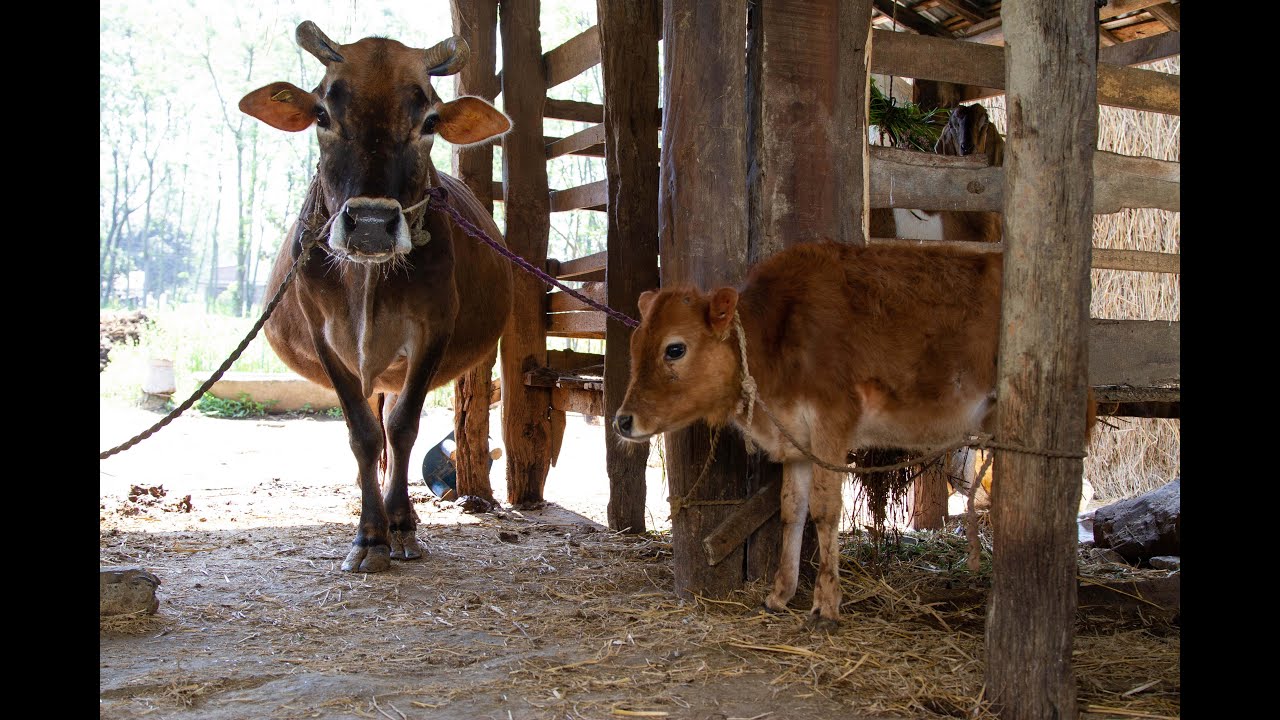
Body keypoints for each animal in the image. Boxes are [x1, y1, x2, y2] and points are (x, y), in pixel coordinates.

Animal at [238, 22, 514, 573]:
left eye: (429, 120)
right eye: (322, 114)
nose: (369, 223)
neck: (367, 280)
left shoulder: (433, 329)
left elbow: (403, 427)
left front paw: (400, 527)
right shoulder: (324, 335)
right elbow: (362, 434)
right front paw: (370, 535)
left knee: (391, 425)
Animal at [612, 240, 1007, 628]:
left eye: (675, 348)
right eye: (634, 345)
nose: (623, 421)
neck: (777, 340)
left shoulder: (831, 427)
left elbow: (825, 510)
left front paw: (826, 606)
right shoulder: (798, 442)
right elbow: (792, 510)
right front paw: (780, 594)